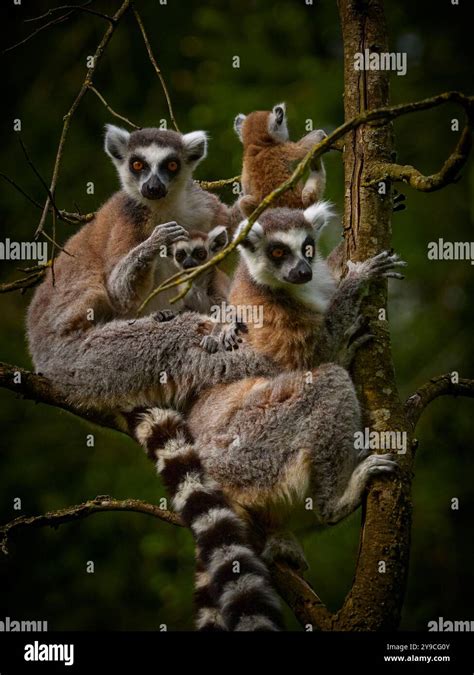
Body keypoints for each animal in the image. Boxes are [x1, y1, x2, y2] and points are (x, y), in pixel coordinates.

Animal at [135, 203, 405, 631]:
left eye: (307, 248)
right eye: (278, 252)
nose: (303, 271)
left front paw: (345, 255)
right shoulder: (271, 315)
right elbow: (313, 357)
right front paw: (358, 281)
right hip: (249, 449)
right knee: (325, 382)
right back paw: (336, 503)